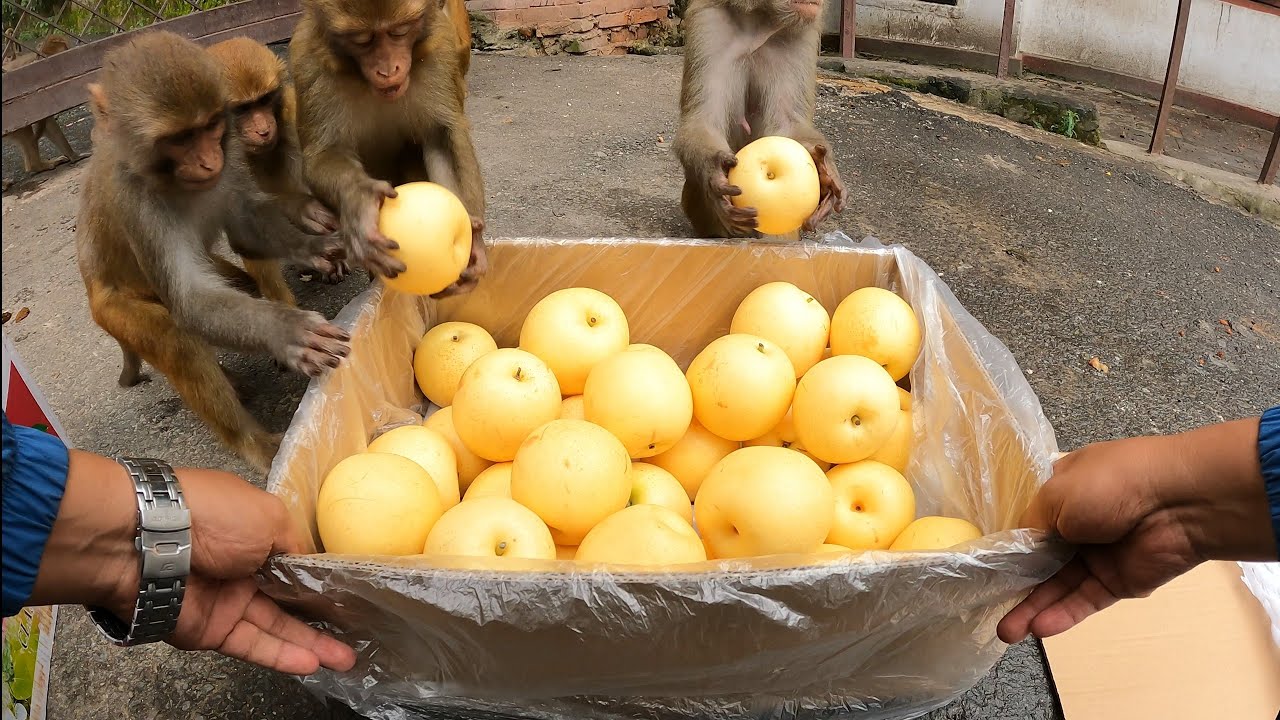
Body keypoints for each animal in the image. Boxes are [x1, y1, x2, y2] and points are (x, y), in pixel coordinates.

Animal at [289, 0, 488, 298]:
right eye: (361, 40)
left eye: (399, 32)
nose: (387, 70)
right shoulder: (309, 62)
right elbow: (323, 154)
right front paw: (360, 199)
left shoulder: (440, 50)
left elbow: (441, 135)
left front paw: (474, 245)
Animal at [673, 0, 846, 239]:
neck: (758, 22)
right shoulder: (707, 23)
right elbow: (702, 121)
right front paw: (715, 170)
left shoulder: (803, 33)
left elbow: (788, 124)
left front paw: (824, 171)